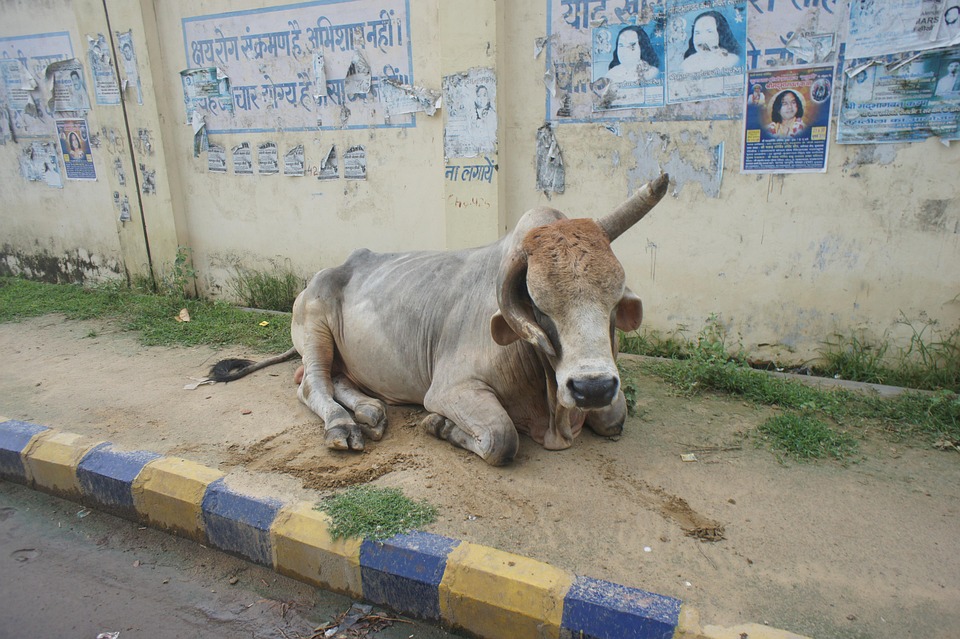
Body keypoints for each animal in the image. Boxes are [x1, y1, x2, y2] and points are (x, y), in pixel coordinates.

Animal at [210, 173, 669, 466]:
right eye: (539, 303)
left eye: (614, 296)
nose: (593, 388)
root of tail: (329, 271)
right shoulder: (451, 387)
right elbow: (501, 439)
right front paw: (438, 425)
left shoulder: (606, 405)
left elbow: (614, 418)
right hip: (314, 329)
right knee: (311, 384)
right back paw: (343, 425)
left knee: (335, 379)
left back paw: (370, 412)